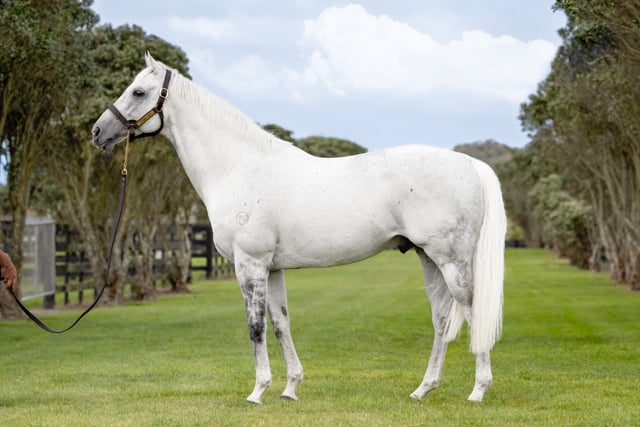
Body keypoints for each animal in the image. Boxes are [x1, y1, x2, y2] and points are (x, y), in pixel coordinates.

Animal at [92, 53, 506, 404]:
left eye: (139, 91)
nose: (97, 131)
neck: (238, 166)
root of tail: (470, 163)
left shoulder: (250, 263)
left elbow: (255, 326)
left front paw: (257, 391)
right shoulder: (272, 267)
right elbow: (280, 323)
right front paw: (290, 388)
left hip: (450, 261)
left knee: (471, 312)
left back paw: (478, 391)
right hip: (428, 258)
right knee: (441, 319)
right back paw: (423, 389)